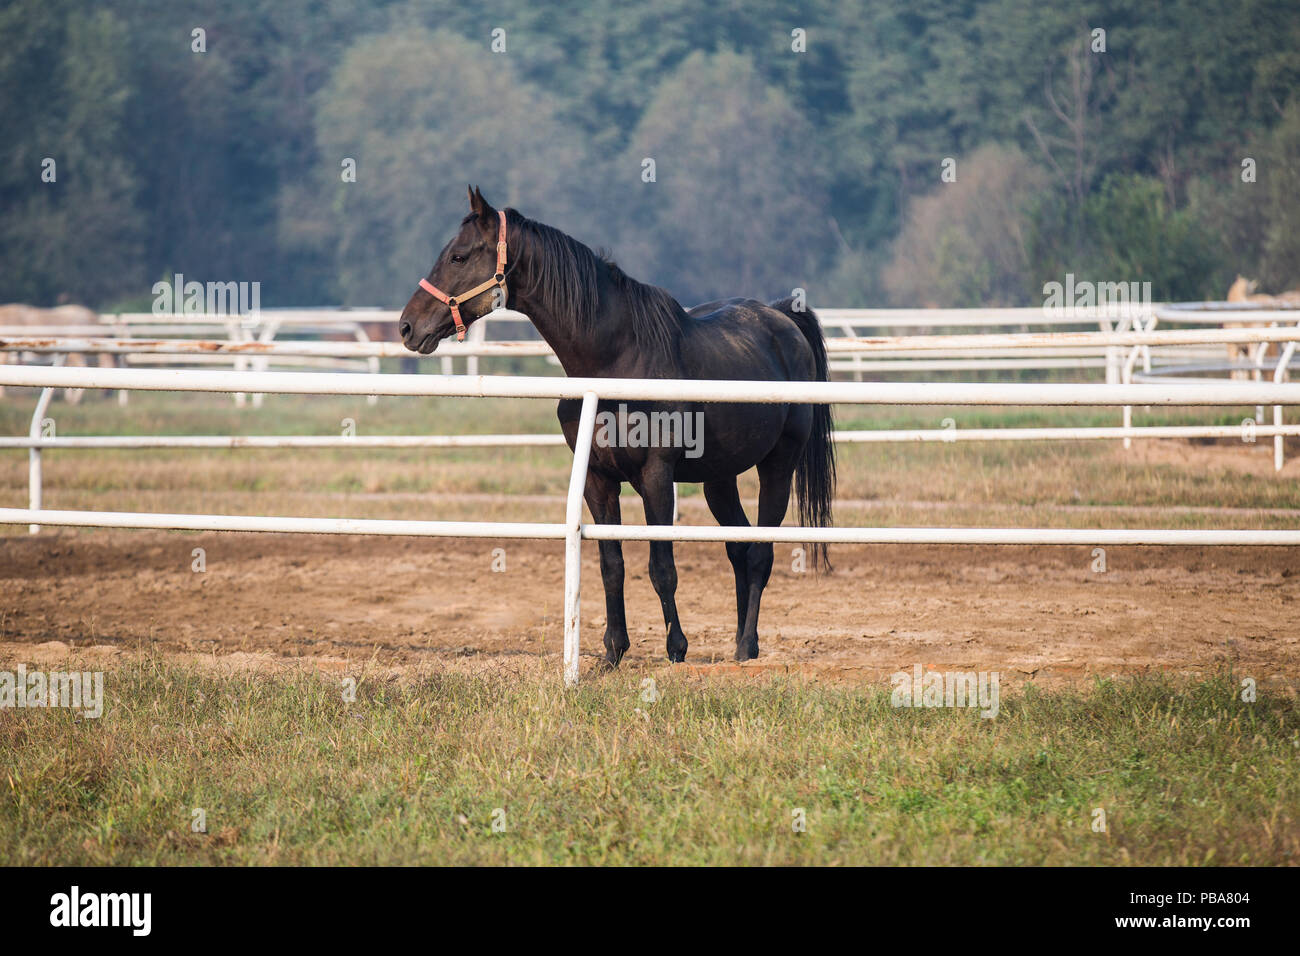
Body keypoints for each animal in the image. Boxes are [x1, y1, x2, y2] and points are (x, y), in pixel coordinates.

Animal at [398, 186, 836, 667]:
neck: (615, 363)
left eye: (458, 256)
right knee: (738, 548)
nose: (406, 326)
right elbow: (612, 564)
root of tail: (782, 319)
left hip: (779, 466)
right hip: (718, 478)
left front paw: (676, 648)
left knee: (760, 552)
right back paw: (742, 642)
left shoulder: (656, 476)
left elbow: (661, 567)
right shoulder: (597, 478)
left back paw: (747, 646)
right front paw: (613, 651)